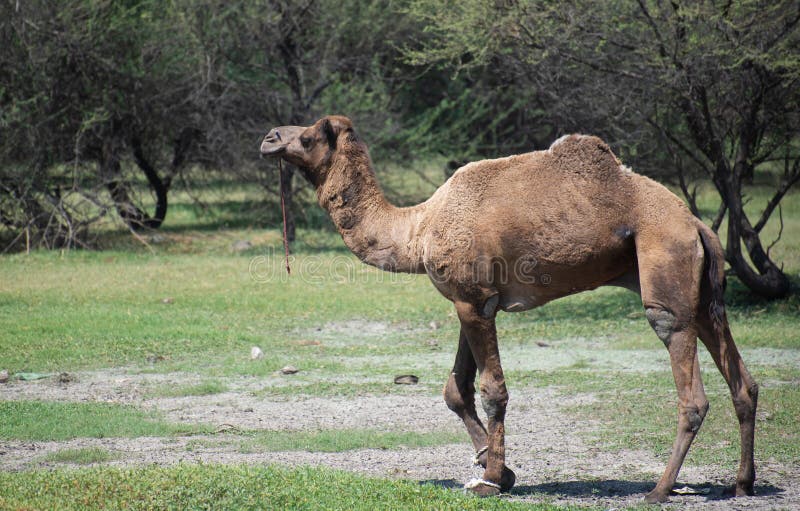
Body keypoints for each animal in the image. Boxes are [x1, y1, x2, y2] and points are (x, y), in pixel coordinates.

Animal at [260, 115, 759, 503]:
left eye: (309, 136)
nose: (269, 137)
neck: (418, 228)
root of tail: (696, 224)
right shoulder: (472, 301)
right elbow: (455, 389)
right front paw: (494, 466)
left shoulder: (474, 300)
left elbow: (492, 391)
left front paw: (491, 480)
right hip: (701, 292)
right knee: (742, 380)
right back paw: (741, 483)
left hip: (664, 266)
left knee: (685, 376)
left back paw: (658, 490)